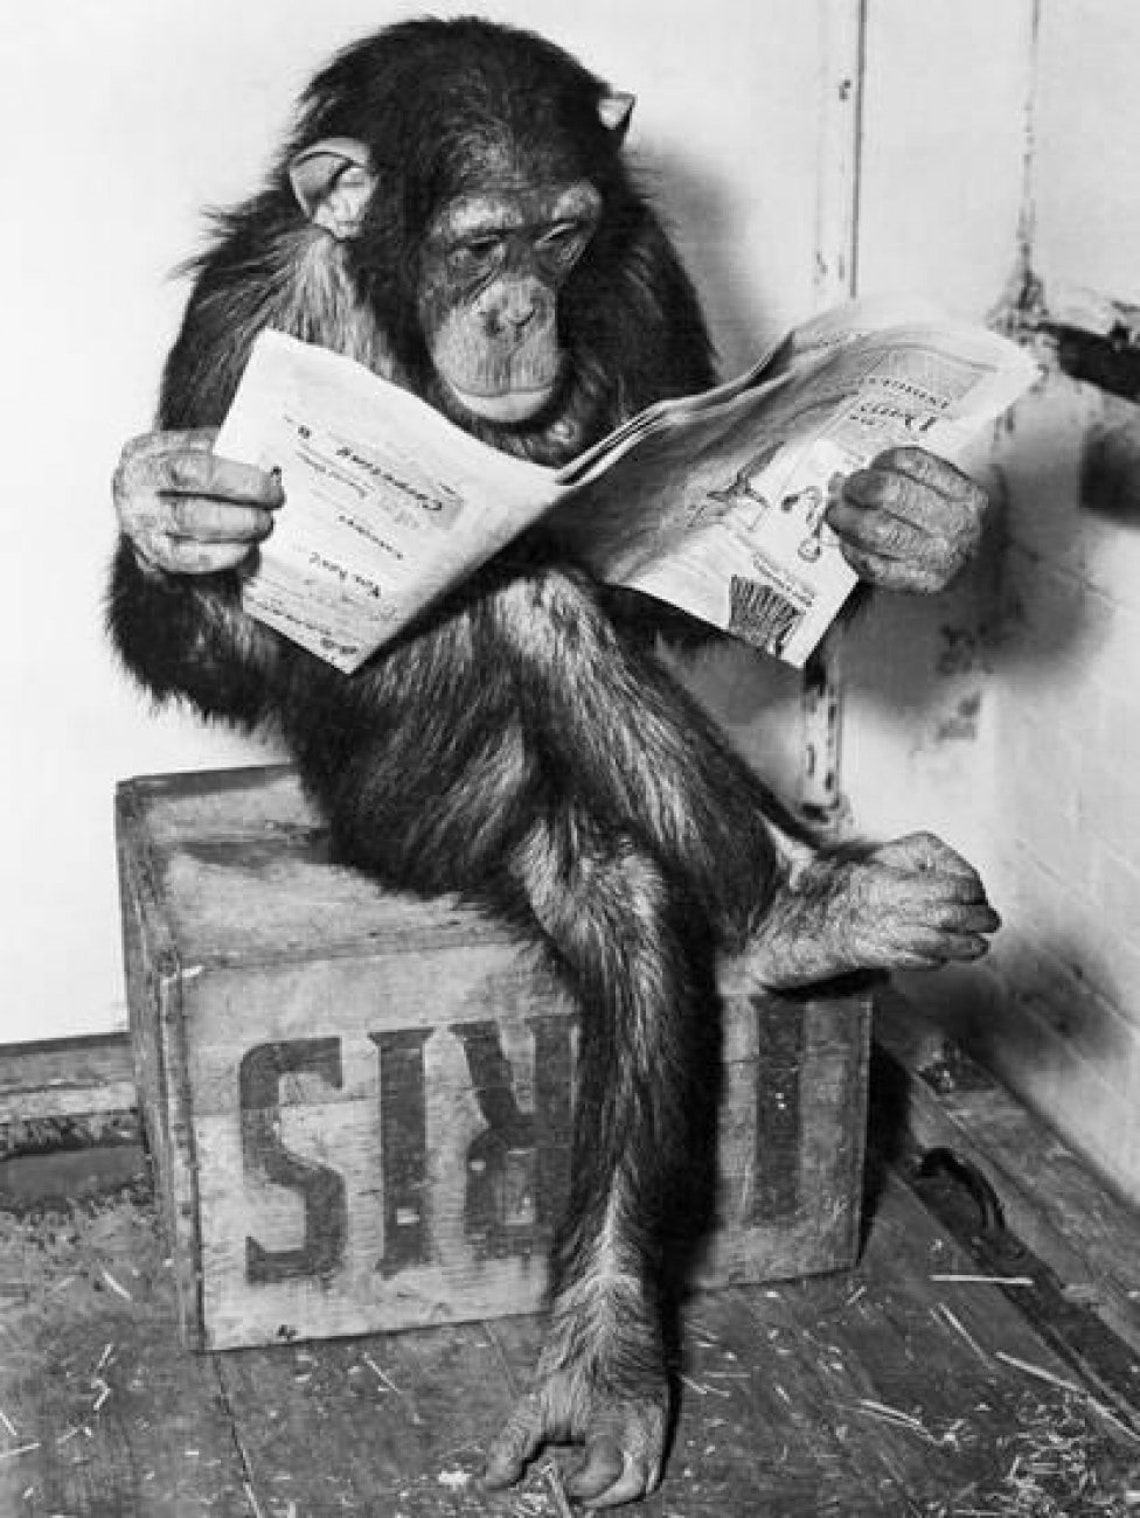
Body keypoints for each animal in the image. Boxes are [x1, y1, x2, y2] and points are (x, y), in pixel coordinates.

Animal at [108, 19, 998, 1508]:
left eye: (563, 234)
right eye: (478, 245)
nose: (521, 308)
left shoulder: (643, 271)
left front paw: (906, 515)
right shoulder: (239, 321)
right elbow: (211, 641)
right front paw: (175, 509)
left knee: (624, 880)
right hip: (416, 814)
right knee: (526, 616)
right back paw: (801, 910)